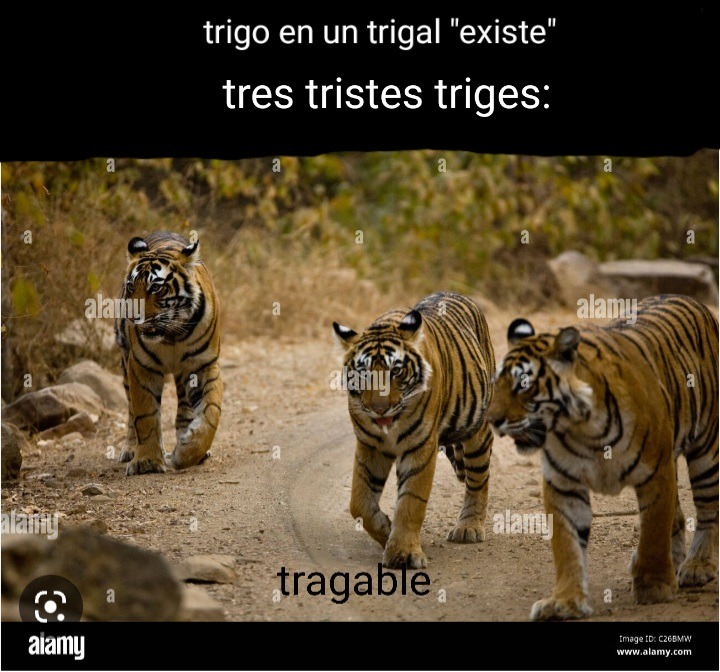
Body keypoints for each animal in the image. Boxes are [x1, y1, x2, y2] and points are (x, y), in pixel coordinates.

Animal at [114, 232, 223, 476]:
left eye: (156, 288)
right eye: (131, 286)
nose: (132, 318)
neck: (172, 334)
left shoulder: (203, 365)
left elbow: (211, 411)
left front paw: (188, 452)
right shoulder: (141, 366)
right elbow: (145, 415)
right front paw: (146, 461)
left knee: (185, 407)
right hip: (125, 362)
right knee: (130, 410)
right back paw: (130, 448)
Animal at [333, 292, 495, 568]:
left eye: (396, 371)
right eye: (364, 373)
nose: (379, 409)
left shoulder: (420, 446)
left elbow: (411, 500)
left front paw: (403, 553)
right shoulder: (370, 446)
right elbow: (359, 503)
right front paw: (386, 530)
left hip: (476, 428)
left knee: (478, 478)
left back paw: (469, 528)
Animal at [488, 294, 718, 621]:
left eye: (523, 384)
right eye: (496, 384)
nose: (492, 420)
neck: (581, 429)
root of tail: (686, 298)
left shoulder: (655, 472)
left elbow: (653, 530)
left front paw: (654, 586)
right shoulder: (563, 484)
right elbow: (567, 546)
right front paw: (565, 600)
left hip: (705, 449)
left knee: (708, 510)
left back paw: (697, 566)